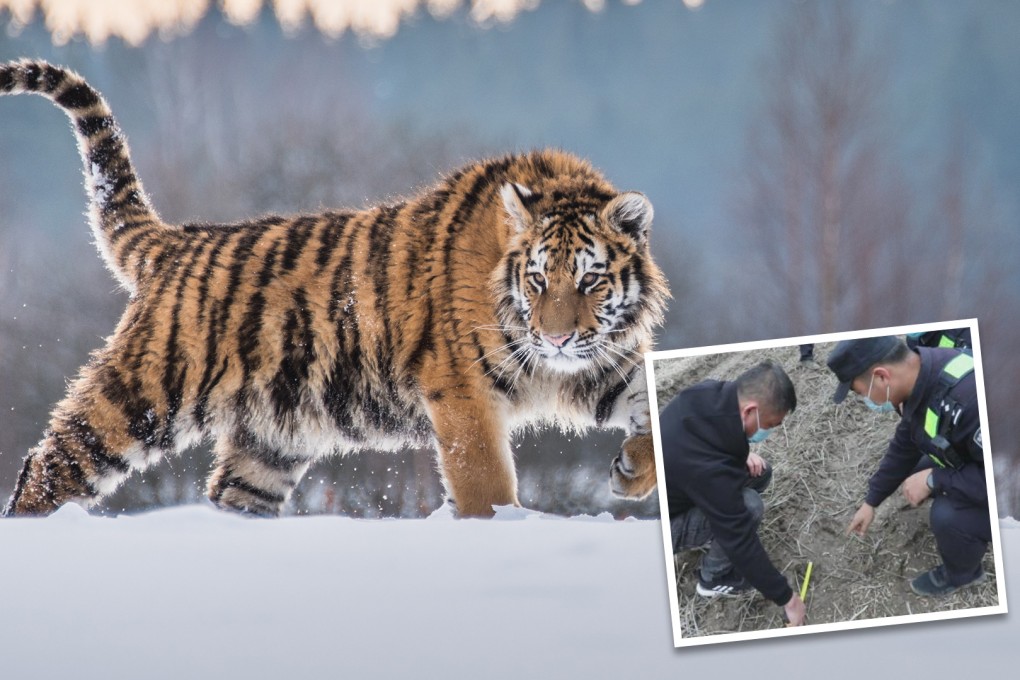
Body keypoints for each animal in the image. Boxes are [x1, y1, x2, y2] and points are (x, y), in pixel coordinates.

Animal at [0, 60, 669, 518]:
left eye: (589, 279)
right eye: (537, 279)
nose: (553, 339)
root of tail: (175, 241)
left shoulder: (601, 358)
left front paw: (632, 471)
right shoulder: (463, 391)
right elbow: (485, 481)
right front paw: (499, 526)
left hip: (271, 440)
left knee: (230, 493)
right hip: (140, 396)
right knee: (47, 467)